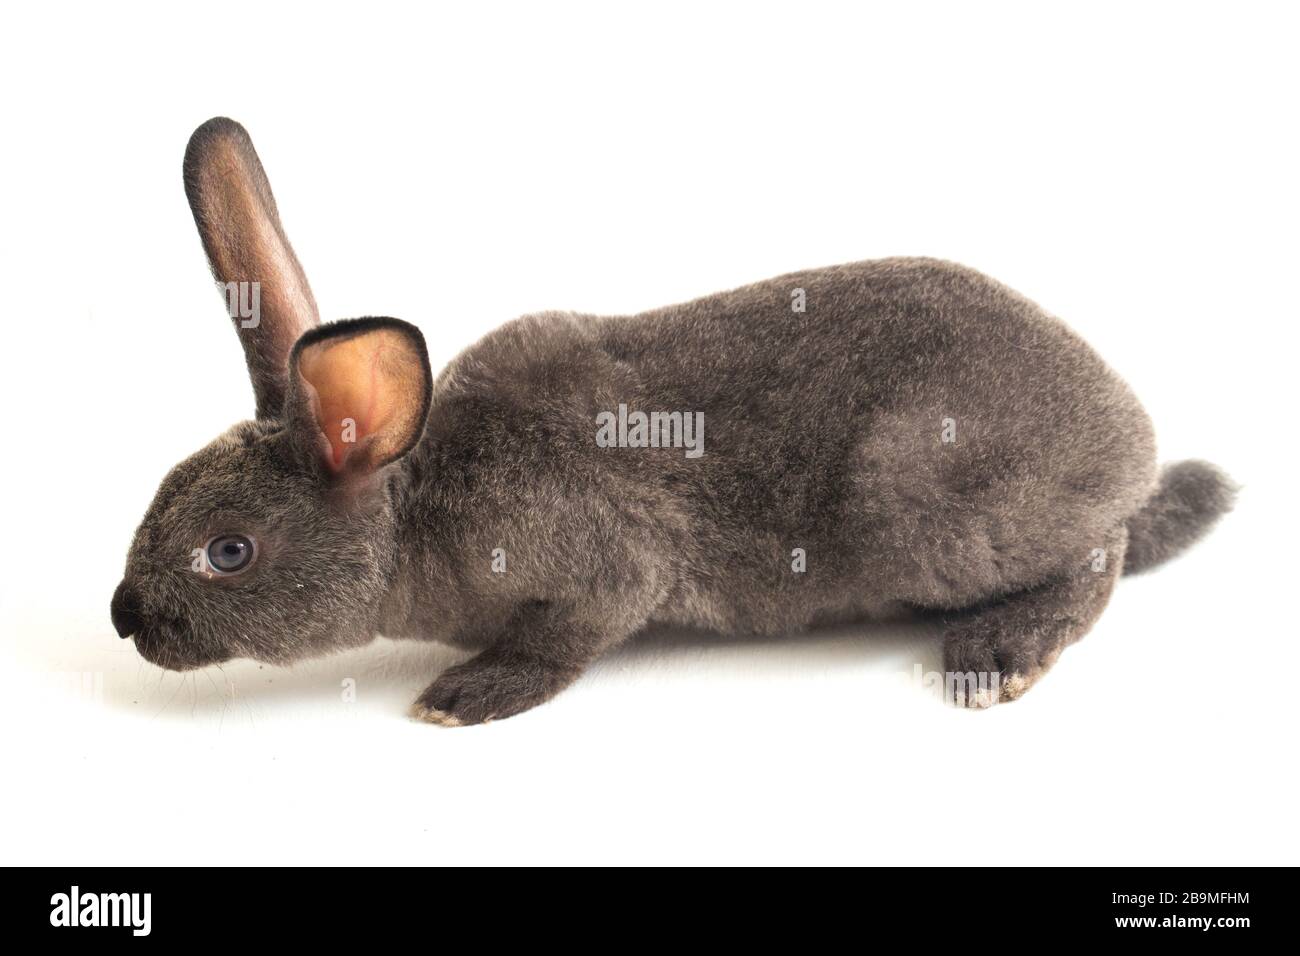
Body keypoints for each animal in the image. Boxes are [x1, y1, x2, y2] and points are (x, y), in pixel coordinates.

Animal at [111, 117, 1236, 724]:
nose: (124, 617)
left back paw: (999, 649)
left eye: (229, 550)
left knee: (1100, 549)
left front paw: (469, 692)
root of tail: (1129, 439)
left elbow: (571, 633)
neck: (415, 501)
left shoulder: (606, 569)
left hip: (922, 503)